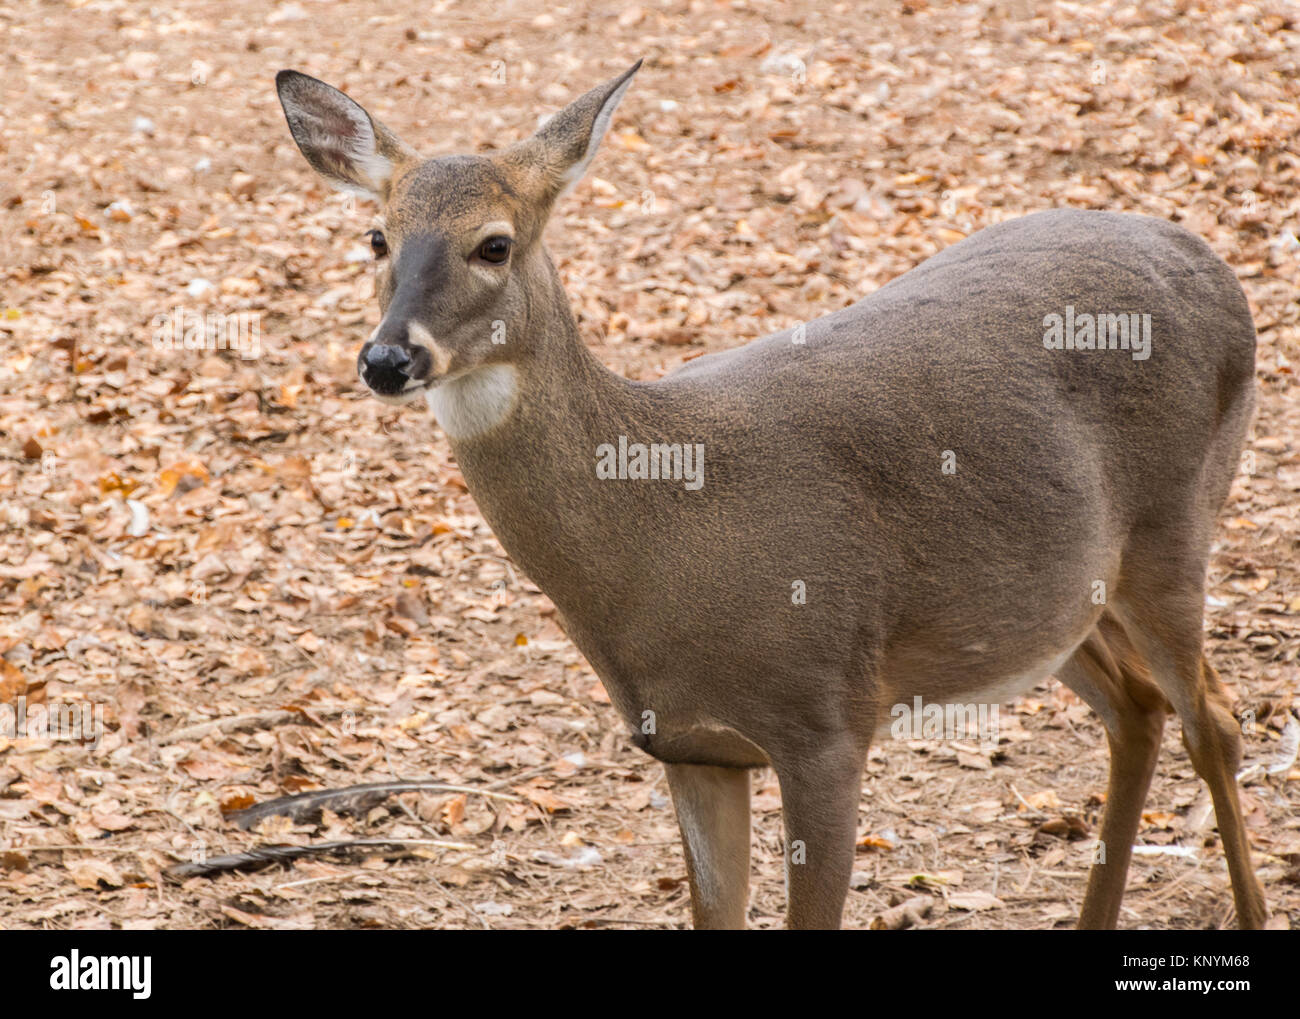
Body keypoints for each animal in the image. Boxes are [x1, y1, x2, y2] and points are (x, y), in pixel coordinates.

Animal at [275, 62, 1268, 929]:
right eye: (376, 238)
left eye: (494, 243)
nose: (387, 357)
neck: (662, 529)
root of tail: (1209, 258)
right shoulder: (691, 747)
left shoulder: (825, 720)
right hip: (1054, 597)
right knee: (1137, 708)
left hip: (1178, 518)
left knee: (1213, 719)